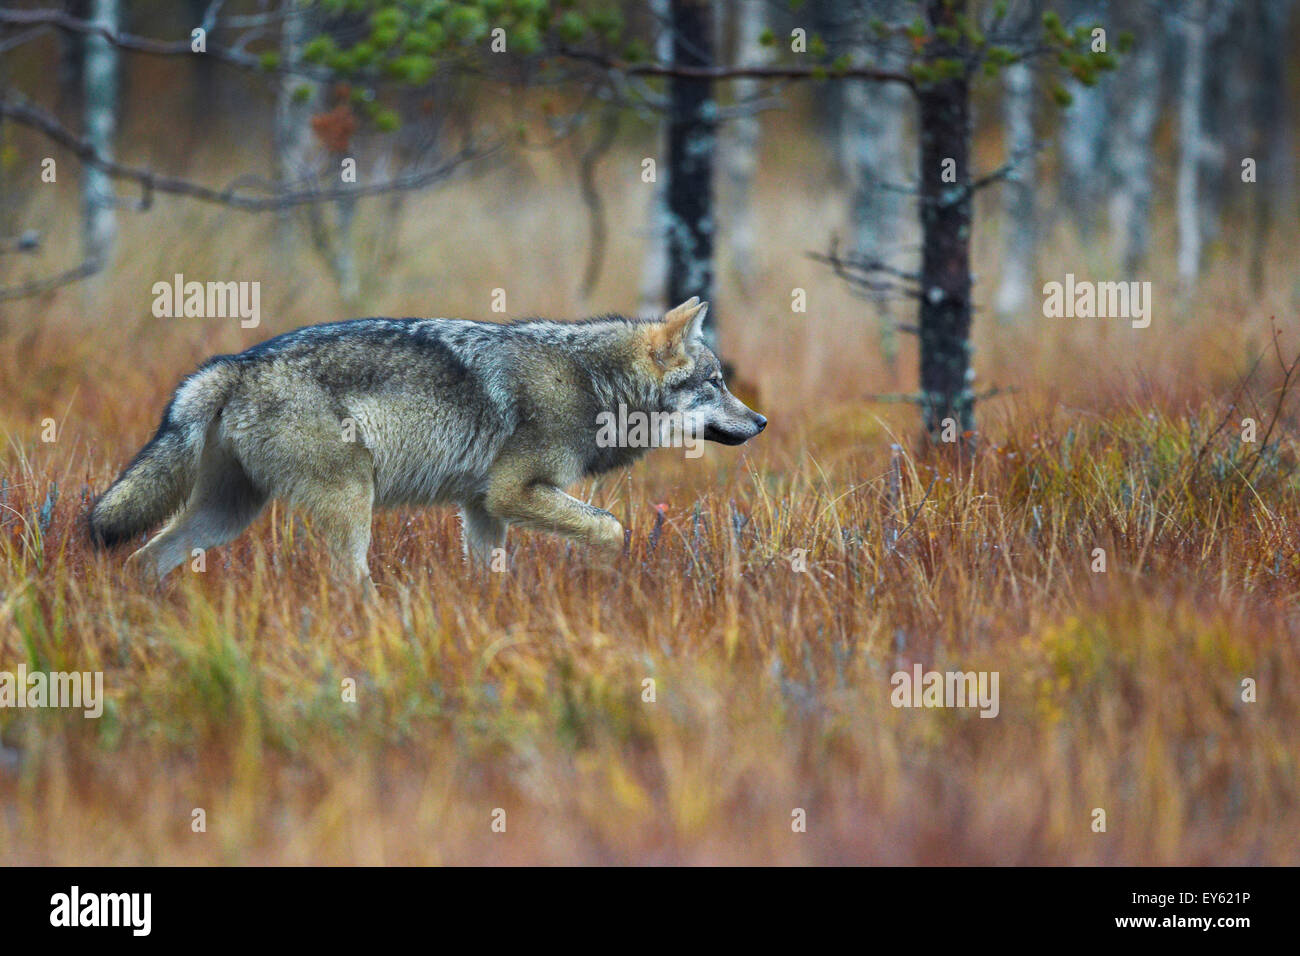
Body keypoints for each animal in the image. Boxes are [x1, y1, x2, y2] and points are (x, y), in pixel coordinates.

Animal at [88, 298, 766, 584]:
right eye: (715, 385)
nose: (760, 423)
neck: (592, 380)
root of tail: (237, 363)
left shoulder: (483, 507)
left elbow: (491, 571)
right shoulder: (512, 492)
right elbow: (611, 529)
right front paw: (614, 574)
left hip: (229, 514)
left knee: (145, 558)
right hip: (348, 504)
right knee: (348, 581)